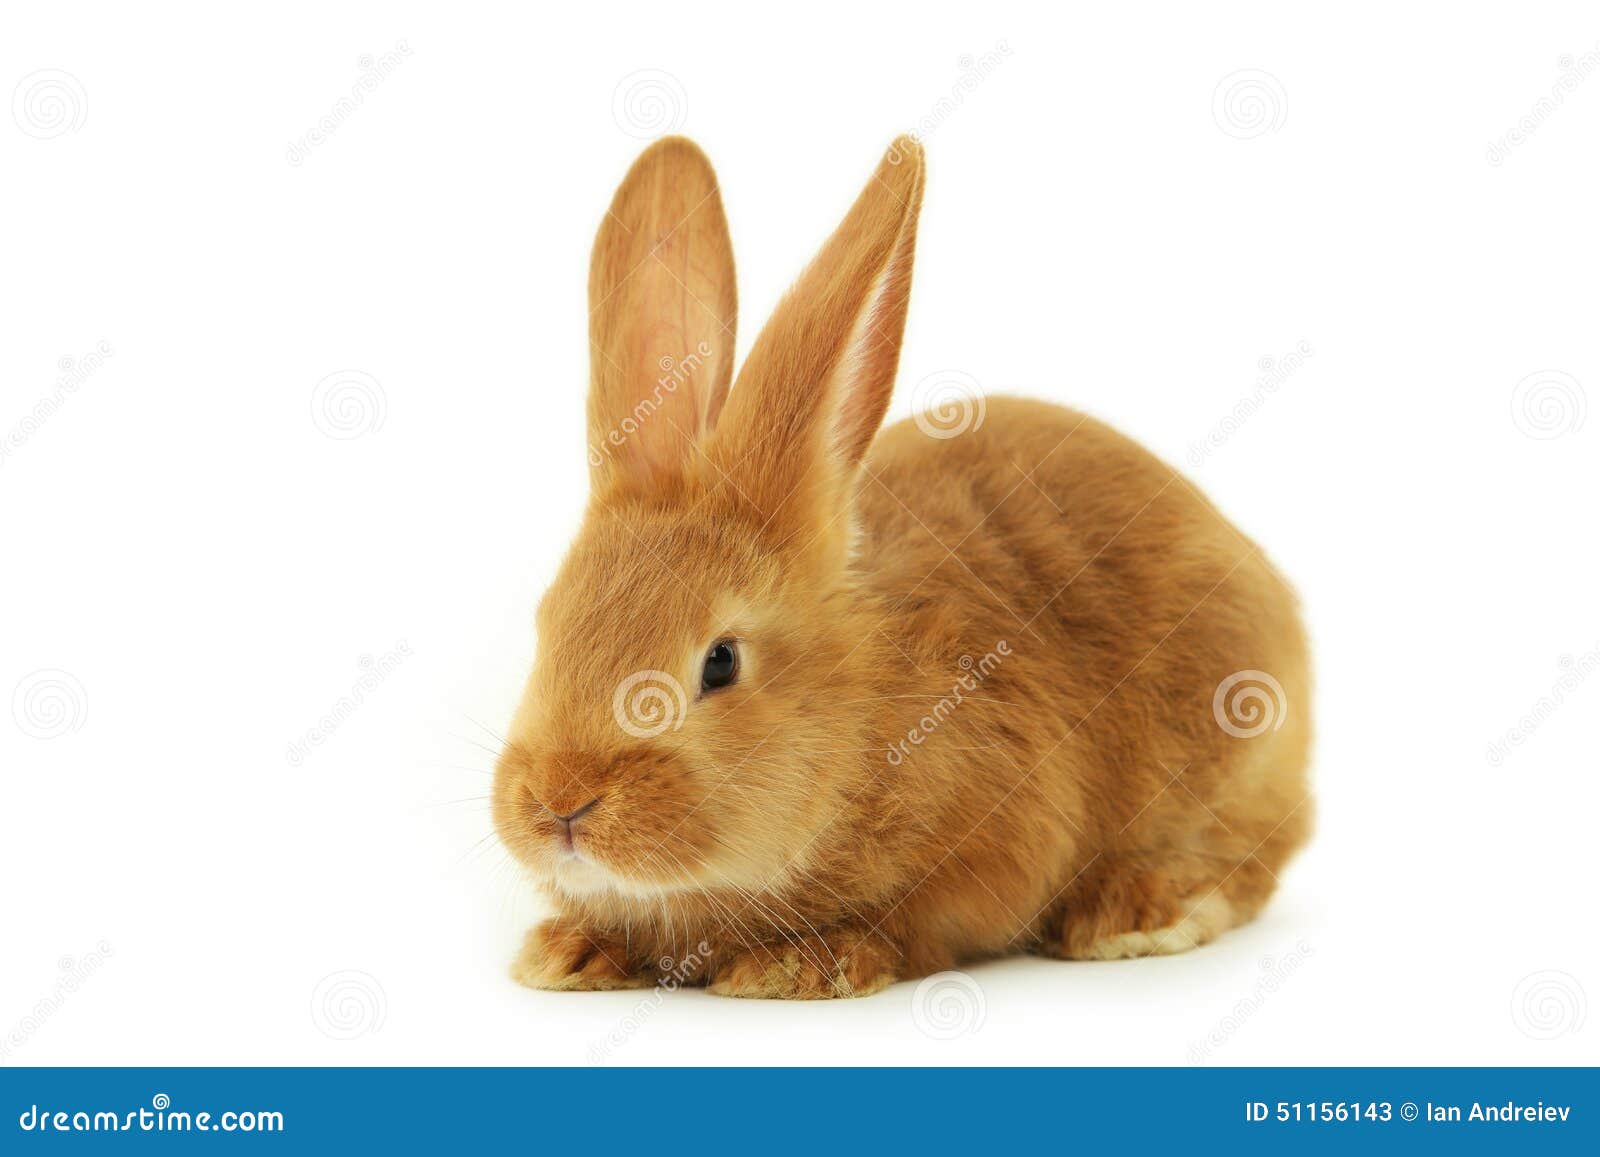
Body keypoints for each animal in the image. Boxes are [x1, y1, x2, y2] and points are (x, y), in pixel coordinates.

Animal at [491, 134, 1312, 999]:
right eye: (545, 627)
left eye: (720, 662)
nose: (559, 800)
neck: (864, 706)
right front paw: (567, 952)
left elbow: (918, 923)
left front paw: (798, 964)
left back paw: (1132, 914)